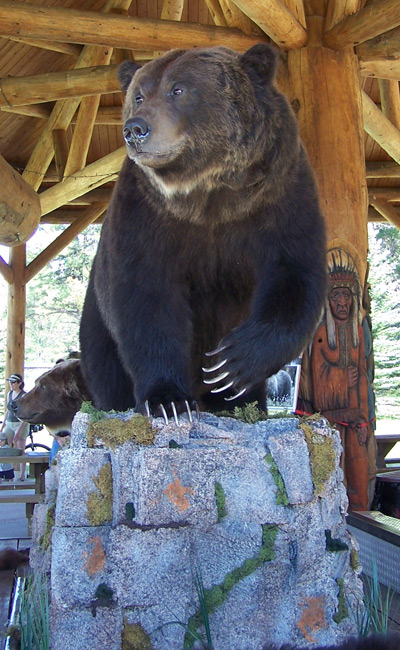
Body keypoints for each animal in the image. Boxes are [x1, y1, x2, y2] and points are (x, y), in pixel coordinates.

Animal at [79, 43, 327, 419]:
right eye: (139, 95)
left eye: (178, 90)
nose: (135, 129)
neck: (209, 195)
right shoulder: (145, 213)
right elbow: (145, 295)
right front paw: (166, 398)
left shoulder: (279, 196)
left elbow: (294, 276)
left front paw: (230, 361)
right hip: (96, 315)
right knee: (104, 364)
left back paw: (237, 402)